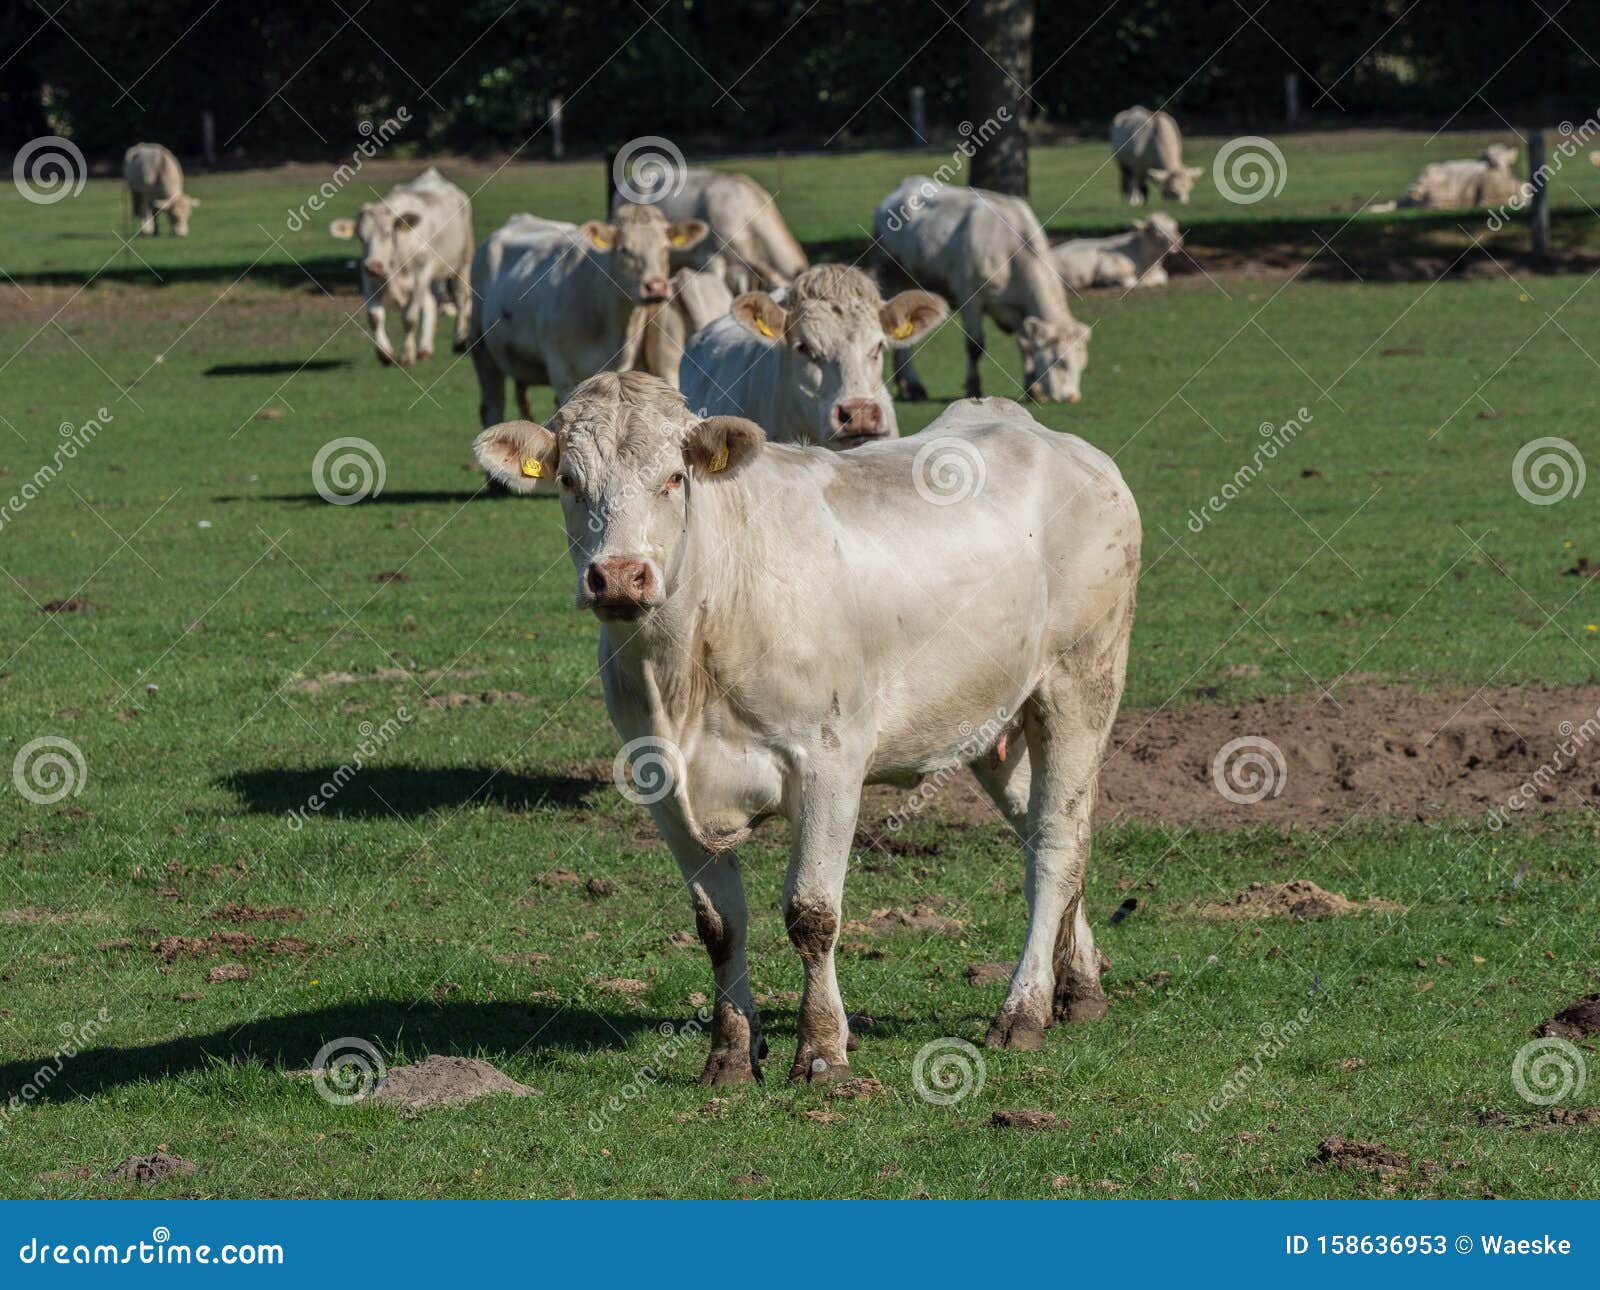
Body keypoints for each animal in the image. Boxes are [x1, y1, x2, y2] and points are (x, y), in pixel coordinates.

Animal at [329, 167, 474, 367]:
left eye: (387, 233)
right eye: (360, 236)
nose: (373, 265)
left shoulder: (421, 274)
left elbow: (409, 318)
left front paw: (407, 355)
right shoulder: (369, 278)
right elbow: (374, 317)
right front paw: (385, 354)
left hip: (462, 261)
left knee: (461, 297)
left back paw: (459, 340)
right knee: (431, 304)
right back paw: (425, 349)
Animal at [469, 204, 710, 428]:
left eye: (665, 247)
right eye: (624, 249)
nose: (656, 287)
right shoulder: (561, 371)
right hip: (482, 351)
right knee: (492, 407)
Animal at [473, 370, 1141, 1082]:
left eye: (675, 477)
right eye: (570, 480)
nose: (620, 576)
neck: (686, 665)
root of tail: (1040, 432)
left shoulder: (831, 759)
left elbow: (811, 913)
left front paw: (822, 1051)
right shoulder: (661, 782)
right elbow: (718, 924)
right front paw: (730, 1054)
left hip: (1080, 685)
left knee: (1056, 848)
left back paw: (1023, 1011)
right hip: (993, 722)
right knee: (1050, 832)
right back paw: (1080, 987)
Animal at [873, 176, 1092, 404]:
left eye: (1082, 365)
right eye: (1060, 361)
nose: (1073, 397)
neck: (1012, 252)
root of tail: (907, 184)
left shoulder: (1016, 308)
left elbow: (1025, 344)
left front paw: (1033, 388)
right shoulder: (970, 297)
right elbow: (974, 345)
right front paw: (974, 387)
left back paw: (906, 385)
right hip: (889, 276)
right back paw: (914, 385)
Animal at [1052, 213, 1183, 291]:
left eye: (1174, 226)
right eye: (1156, 230)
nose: (1177, 240)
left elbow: (1163, 277)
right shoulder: (1107, 270)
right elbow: (1131, 282)